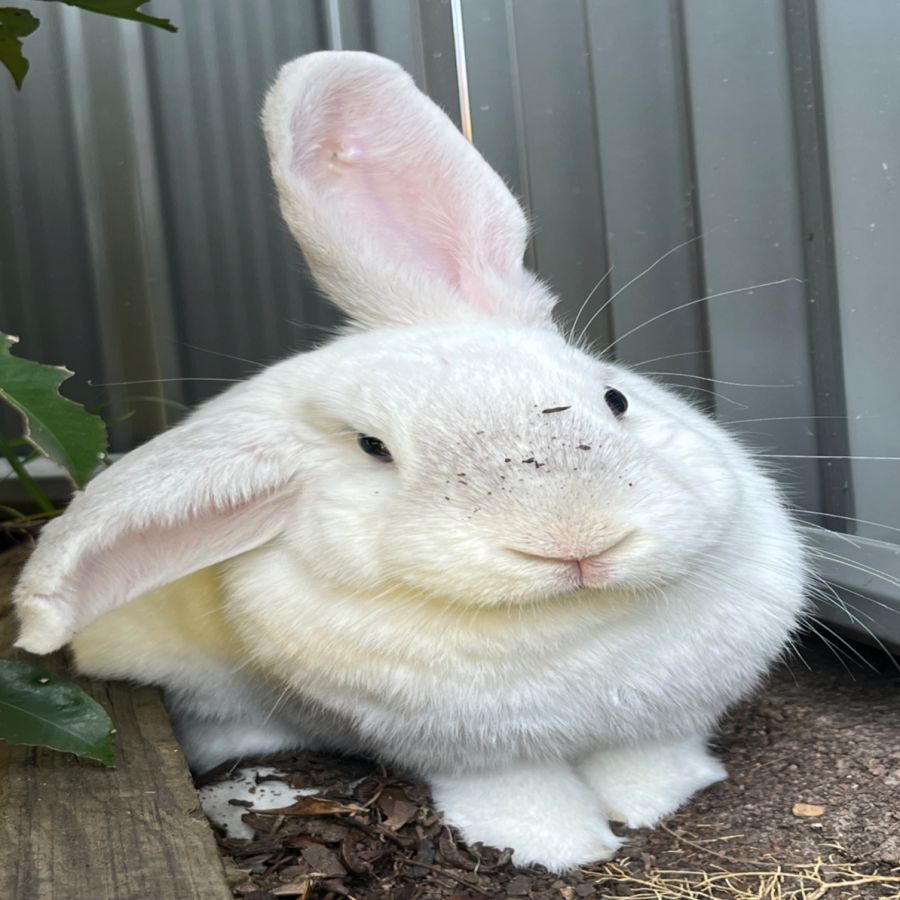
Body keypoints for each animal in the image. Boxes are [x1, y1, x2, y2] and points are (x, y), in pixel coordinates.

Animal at [13, 51, 807, 871]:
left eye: (614, 398)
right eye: (373, 449)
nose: (579, 543)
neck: (587, 627)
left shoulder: (663, 723)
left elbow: (649, 764)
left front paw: (658, 802)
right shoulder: (482, 759)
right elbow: (524, 797)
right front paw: (563, 848)